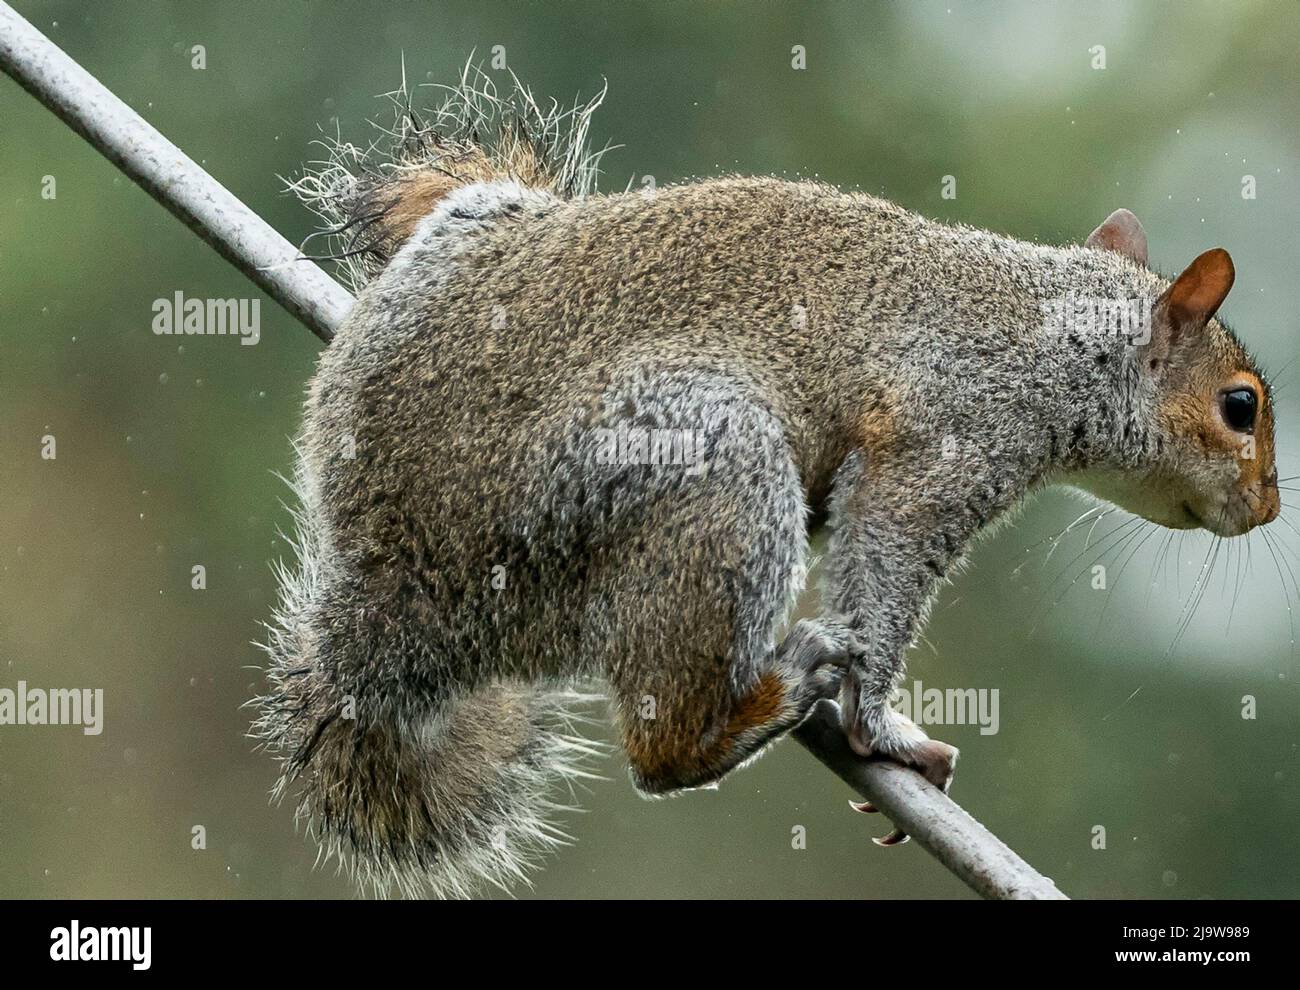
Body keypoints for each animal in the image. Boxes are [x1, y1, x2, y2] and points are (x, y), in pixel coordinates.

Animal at [254, 68, 1281, 897]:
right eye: (1241, 406)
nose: (1269, 507)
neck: (1054, 341)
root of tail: (386, 610)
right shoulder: (942, 444)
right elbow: (885, 573)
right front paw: (885, 729)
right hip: (699, 470)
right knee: (661, 753)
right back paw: (766, 699)